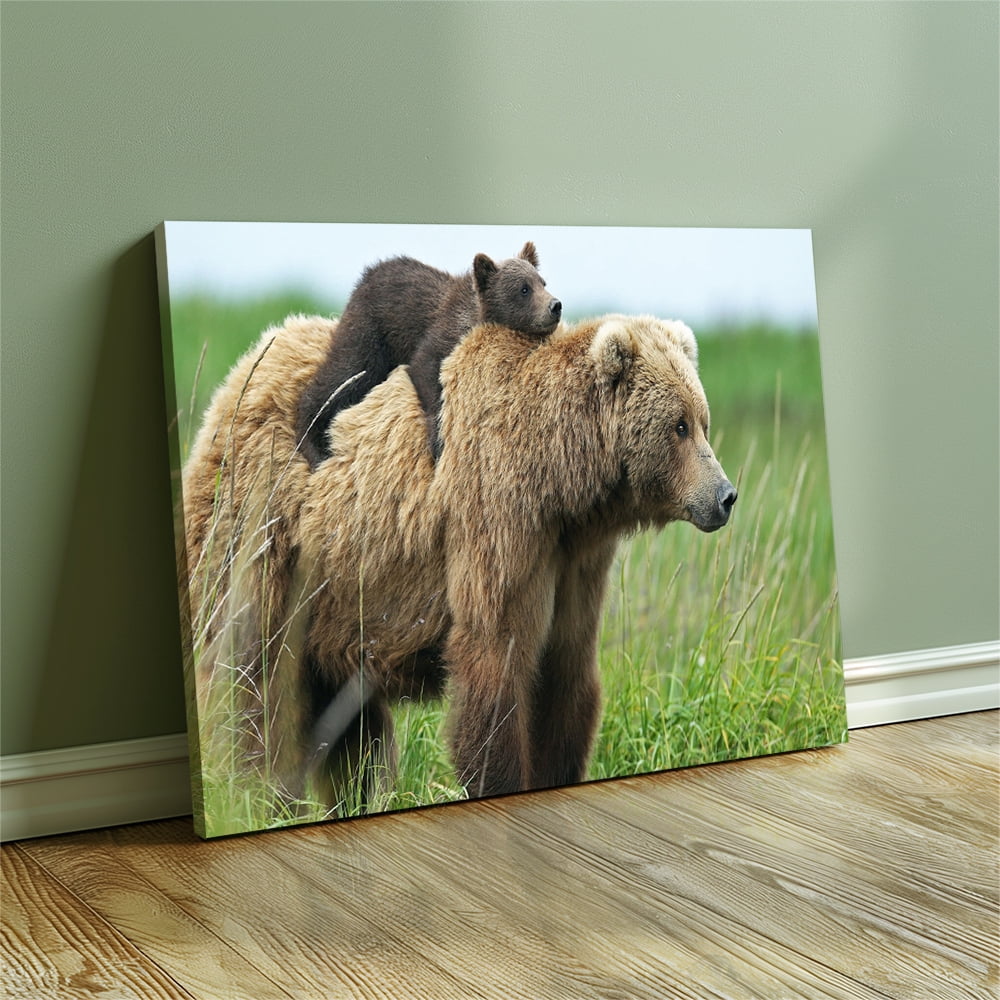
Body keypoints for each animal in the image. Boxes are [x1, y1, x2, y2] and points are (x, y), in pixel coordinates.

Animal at [180, 311, 736, 828]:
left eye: (702, 420)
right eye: (680, 425)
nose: (725, 495)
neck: (562, 482)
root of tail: (238, 377)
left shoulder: (574, 560)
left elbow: (566, 670)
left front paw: (557, 769)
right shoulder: (497, 520)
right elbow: (495, 658)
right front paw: (501, 780)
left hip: (336, 601)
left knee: (351, 728)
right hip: (263, 530)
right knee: (250, 677)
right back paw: (253, 796)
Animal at [295, 241, 561, 466]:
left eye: (542, 282)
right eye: (524, 289)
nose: (555, 306)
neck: (475, 316)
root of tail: (368, 274)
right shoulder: (442, 334)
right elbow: (426, 369)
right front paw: (438, 441)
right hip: (369, 331)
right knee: (344, 375)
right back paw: (312, 443)